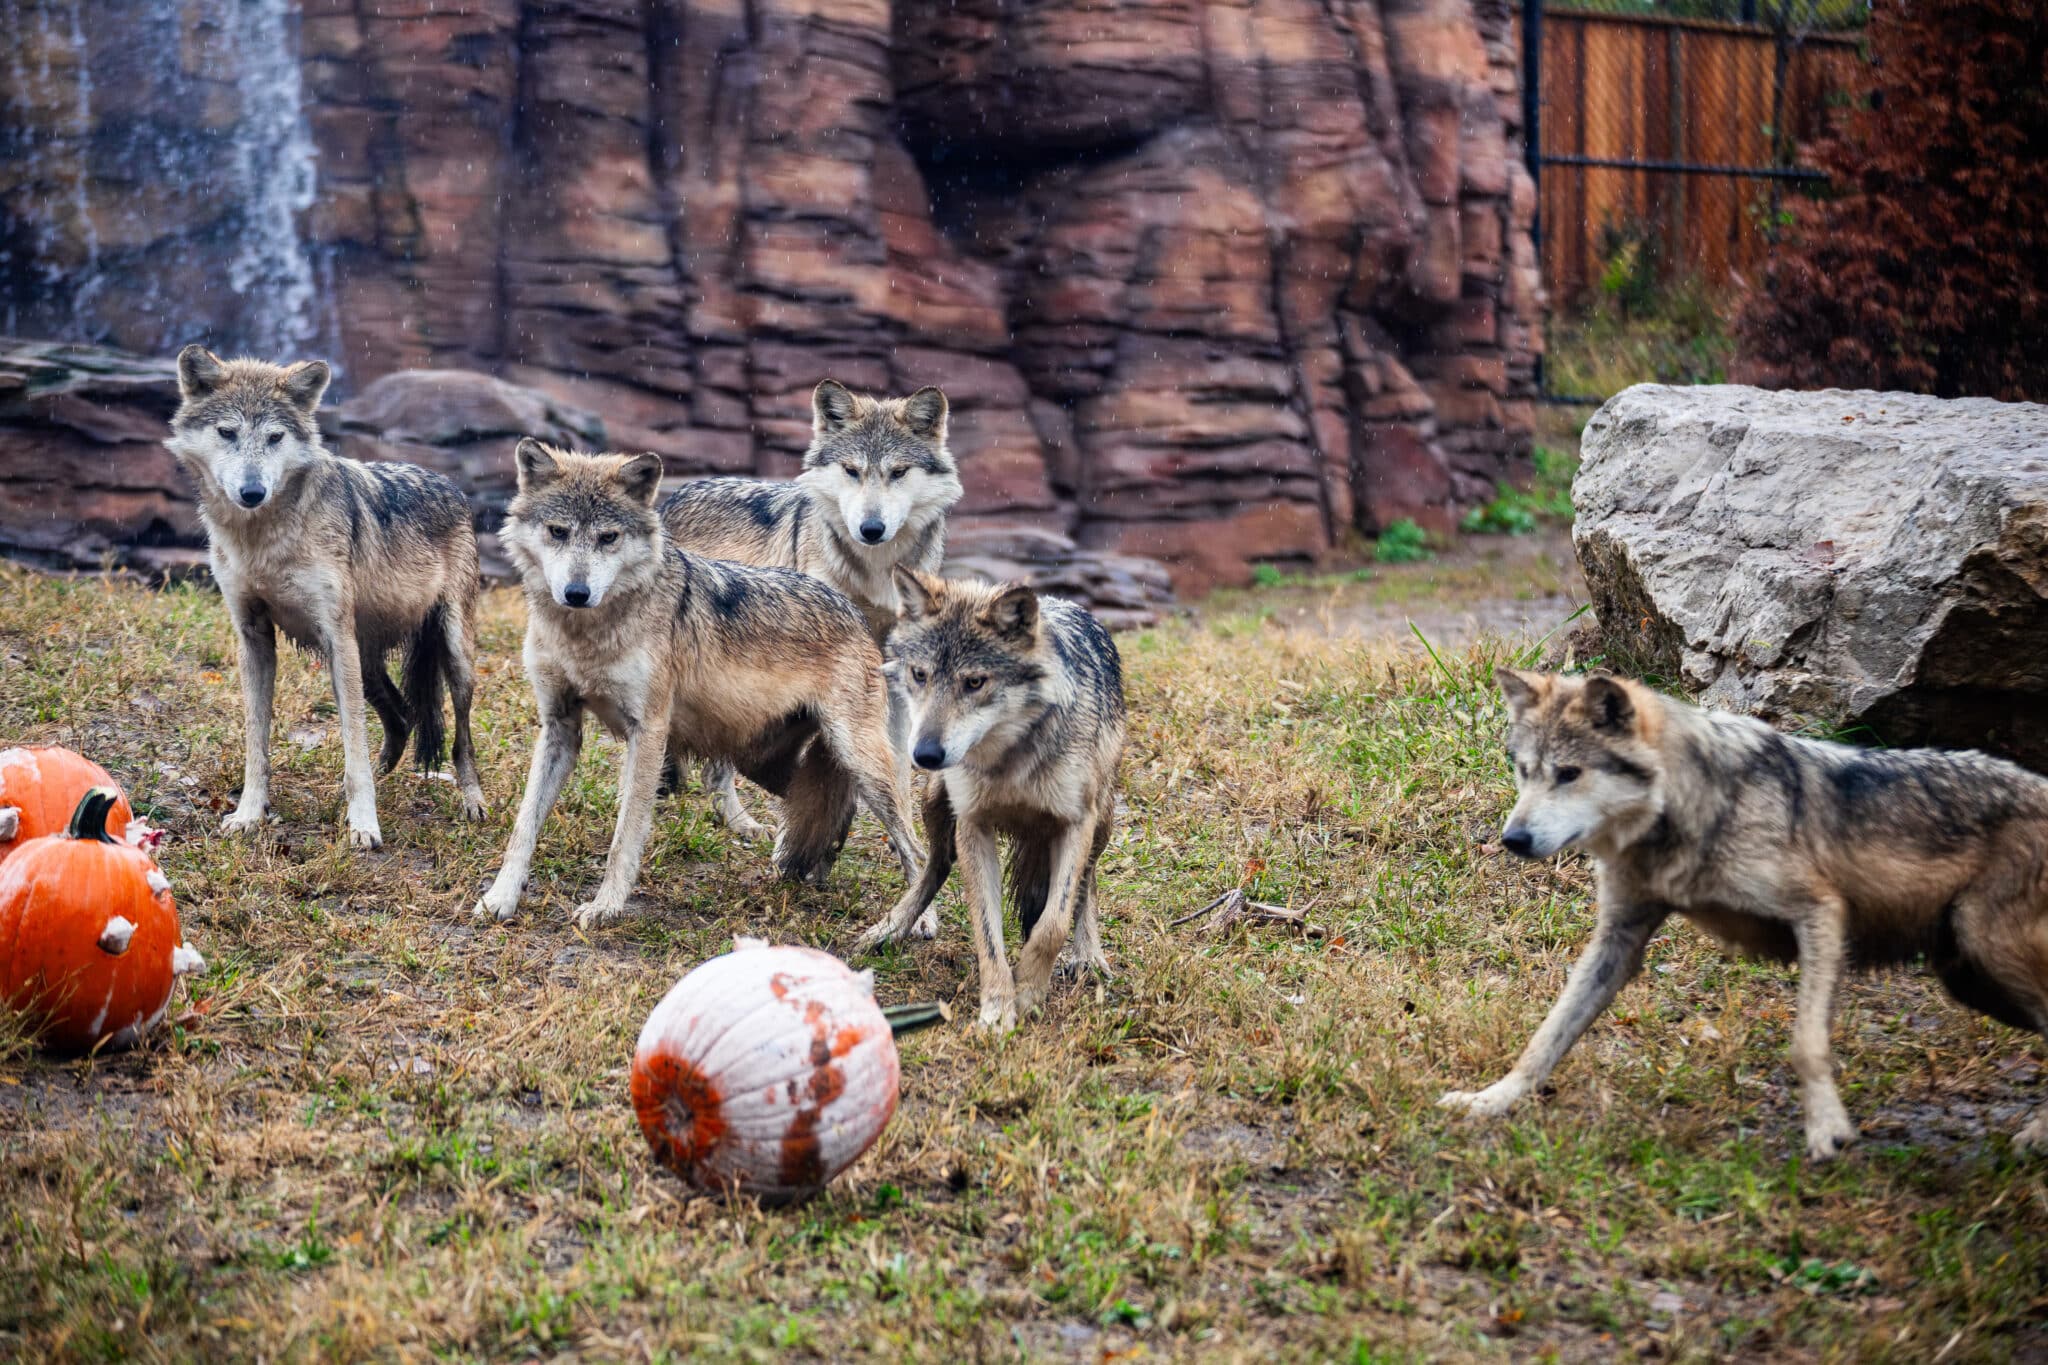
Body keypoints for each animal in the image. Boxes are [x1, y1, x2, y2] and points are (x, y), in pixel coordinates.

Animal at [165, 345, 486, 849]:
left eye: (274, 437)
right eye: (227, 433)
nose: (252, 491)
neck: (263, 541)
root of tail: (451, 484)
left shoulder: (336, 638)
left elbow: (353, 743)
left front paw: (364, 826)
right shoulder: (253, 638)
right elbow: (257, 744)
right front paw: (248, 814)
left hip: (450, 656)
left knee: (460, 738)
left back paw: (472, 802)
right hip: (366, 662)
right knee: (402, 718)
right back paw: (361, 788)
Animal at [475, 441, 930, 930]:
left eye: (608, 538)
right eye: (558, 532)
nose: (576, 593)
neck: (587, 636)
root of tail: (855, 612)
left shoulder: (648, 732)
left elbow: (625, 835)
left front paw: (606, 906)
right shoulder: (559, 726)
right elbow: (524, 825)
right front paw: (500, 897)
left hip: (859, 759)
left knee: (912, 842)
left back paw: (916, 920)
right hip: (770, 766)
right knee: (833, 807)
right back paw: (811, 870)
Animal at [656, 380, 962, 838]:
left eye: (898, 472)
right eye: (852, 471)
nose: (871, 528)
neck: (875, 573)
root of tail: (675, 496)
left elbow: (896, 771)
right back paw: (735, 820)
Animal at [850, 569, 1126, 1032]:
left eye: (975, 682)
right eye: (920, 675)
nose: (924, 753)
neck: (1008, 760)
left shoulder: (1076, 822)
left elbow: (1053, 921)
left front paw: (1029, 991)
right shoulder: (973, 825)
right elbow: (987, 932)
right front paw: (998, 1009)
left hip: (1102, 819)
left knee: (1087, 884)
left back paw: (1088, 956)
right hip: (935, 799)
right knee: (935, 865)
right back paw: (891, 928)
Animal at [1441, 667, 2048, 1160]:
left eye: (1569, 774)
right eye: (1524, 771)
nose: (1512, 839)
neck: (1693, 806)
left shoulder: (1822, 913)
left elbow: (1807, 1043)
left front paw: (1826, 1130)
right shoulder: (1618, 939)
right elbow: (1544, 1038)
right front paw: (1490, 1101)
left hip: (1987, 956)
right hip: (1972, 981)